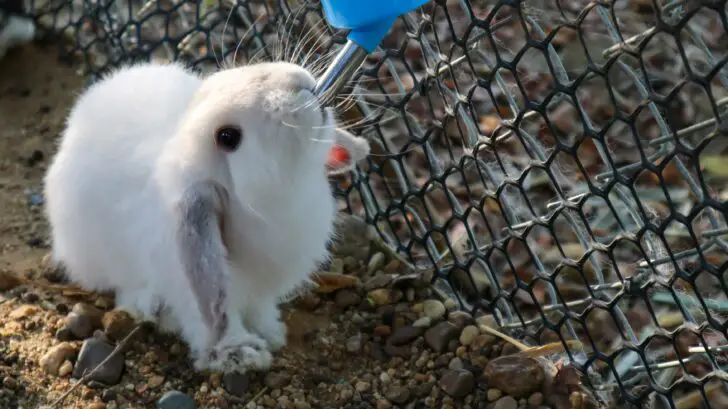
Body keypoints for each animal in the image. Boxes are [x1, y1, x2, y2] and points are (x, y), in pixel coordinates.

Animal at [43, 60, 370, 374]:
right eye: (228, 137)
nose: (297, 82)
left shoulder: (263, 291)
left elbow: (260, 310)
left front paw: (271, 333)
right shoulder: (194, 290)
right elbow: (214, 319)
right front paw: (239, 353)